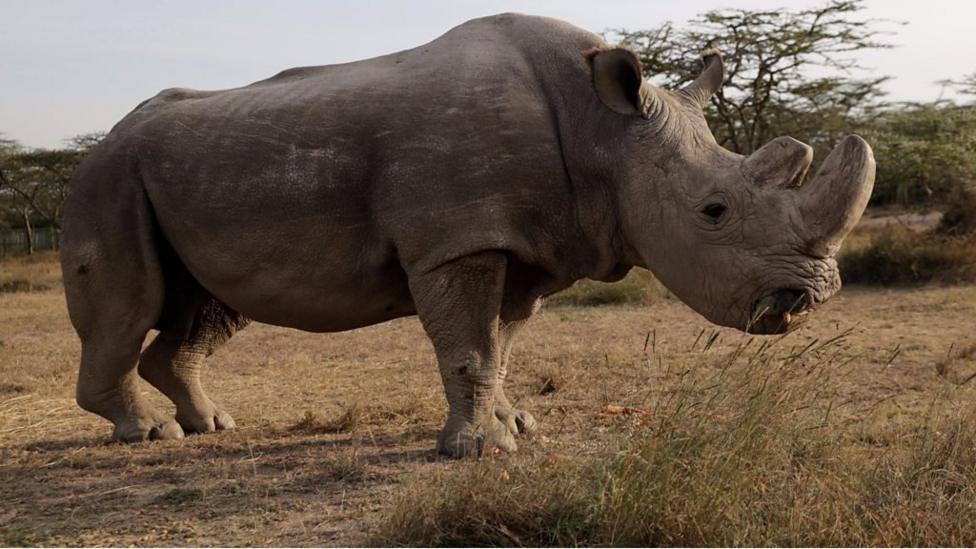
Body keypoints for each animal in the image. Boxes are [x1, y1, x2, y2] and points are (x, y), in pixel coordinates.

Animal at [60, 13, 874, 457]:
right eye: (714, 211)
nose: (811, 297)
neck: (604, 132)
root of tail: (100, 142)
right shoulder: (457, 240)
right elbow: (469, 348)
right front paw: (478, 452)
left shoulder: (527, 242)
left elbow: (500, 346)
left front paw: (518, 425)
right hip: (107, 180)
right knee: (130, 304)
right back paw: (151, 434)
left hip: (180, 178)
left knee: (206, 308)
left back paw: (210, 426)